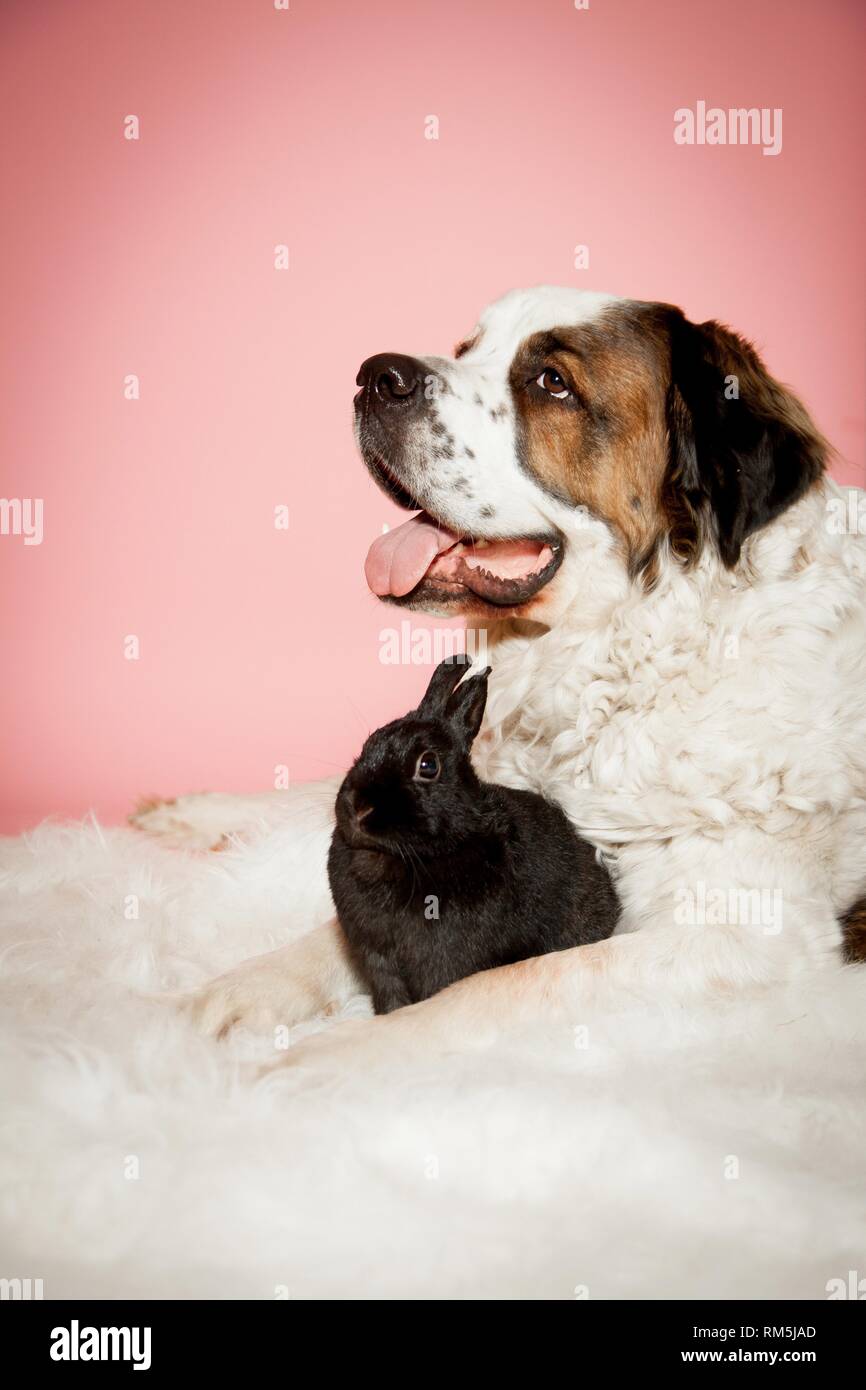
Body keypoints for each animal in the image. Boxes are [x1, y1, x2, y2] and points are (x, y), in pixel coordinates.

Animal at [327, 654, 620, 1015]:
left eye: (428, 766)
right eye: (369, 743)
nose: (359, 808)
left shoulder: (443, 962)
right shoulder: (378, 960)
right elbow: (391, 997)